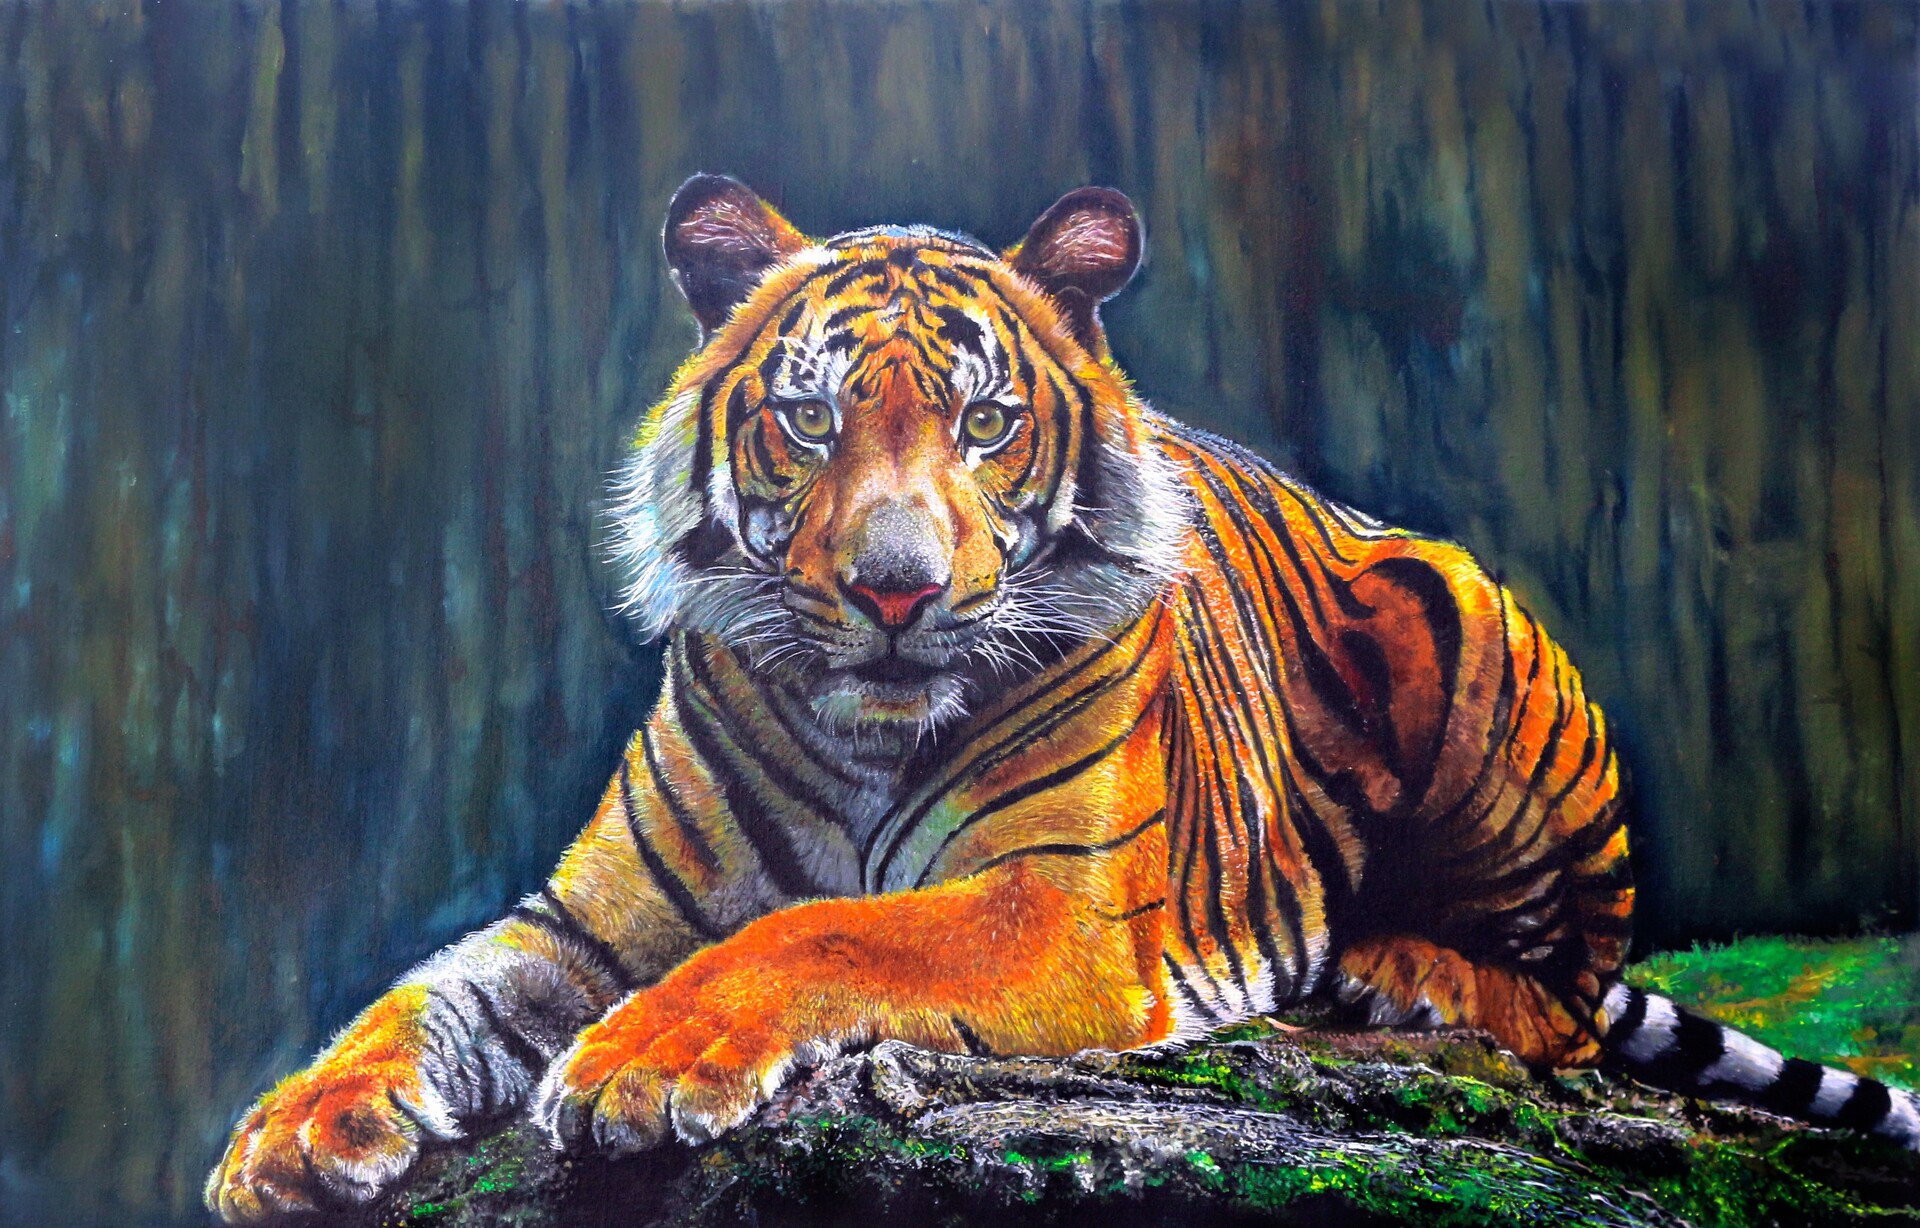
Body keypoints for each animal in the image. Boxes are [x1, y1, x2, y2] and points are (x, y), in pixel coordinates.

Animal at [207, 174, 1920, 1221]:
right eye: (811, 423)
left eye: (984, 423)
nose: (897, 591)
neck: (859, 727)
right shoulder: (585, 923)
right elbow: (426, 995)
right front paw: (292, 1131)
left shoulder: (1057, 907)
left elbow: (820, 931)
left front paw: (641, 1066)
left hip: (1460, 622)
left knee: (1566, 993)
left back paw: (1399, 975)